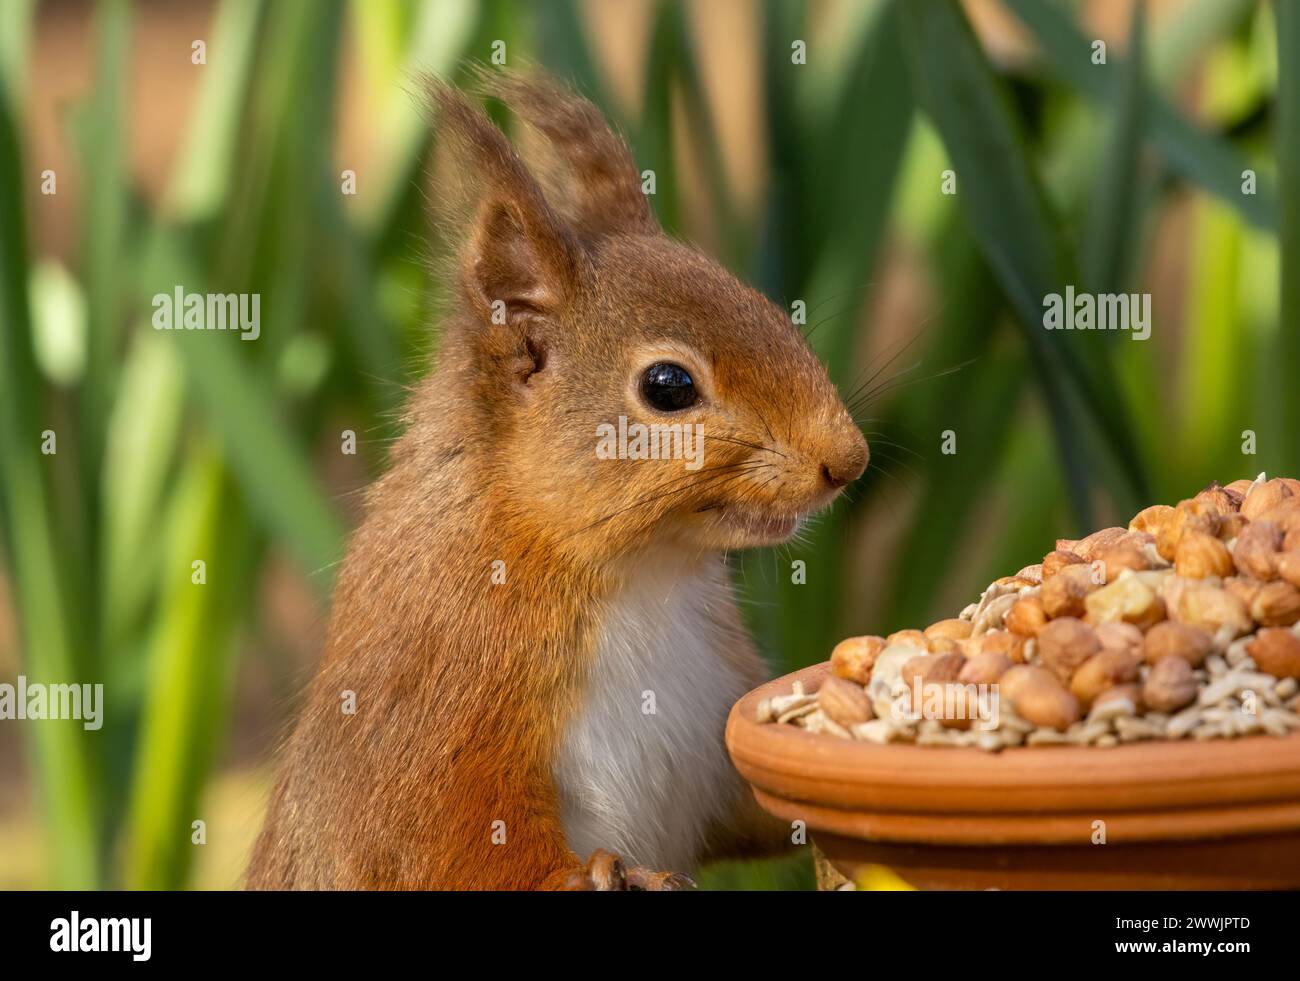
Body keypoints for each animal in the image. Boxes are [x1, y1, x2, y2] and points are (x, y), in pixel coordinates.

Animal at [246, 69, 868, 890]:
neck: (644, 575)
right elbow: (443, 844)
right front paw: (593, 875)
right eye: (668, 386)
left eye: (770, 309)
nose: (848, 461)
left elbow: (753, 808)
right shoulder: (432, 701)